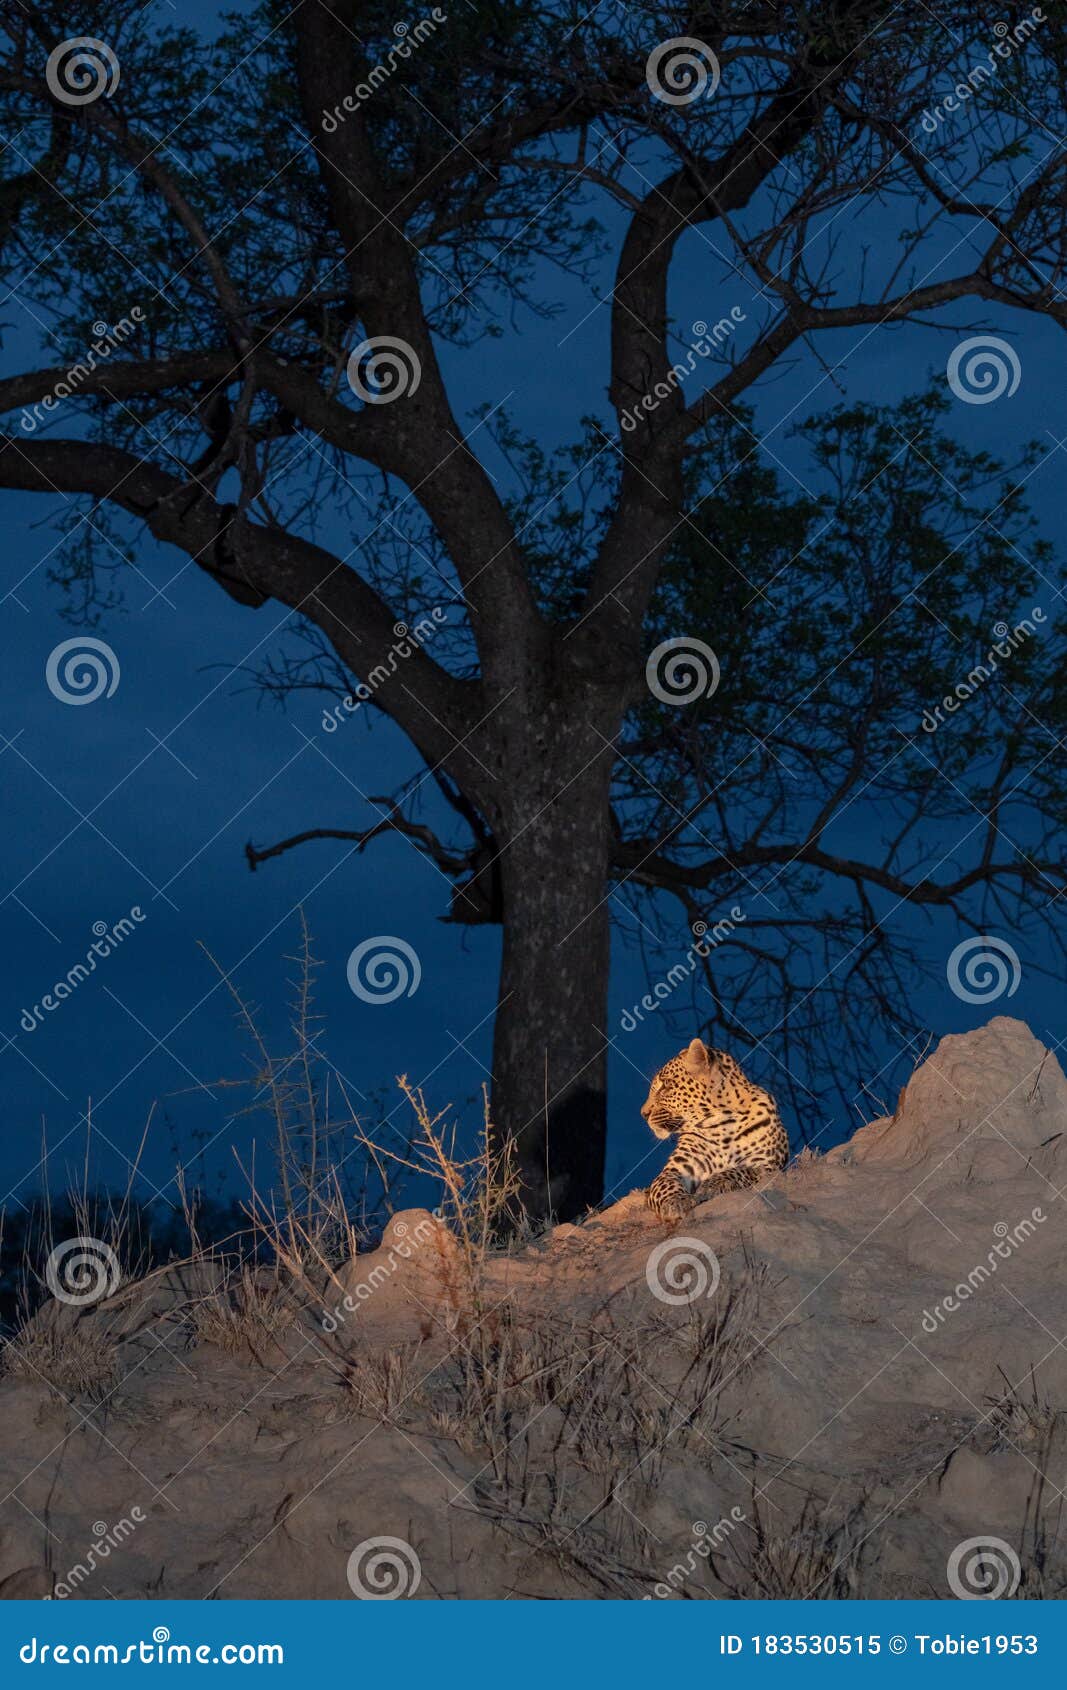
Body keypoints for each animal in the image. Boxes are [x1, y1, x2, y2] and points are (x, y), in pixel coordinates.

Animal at [641, 1037, 789, 1220]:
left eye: (666, 1085)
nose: (643, 1113)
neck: (722, 1124)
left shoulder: (767, 1164)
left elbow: (740, 1170)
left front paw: (713, 1184)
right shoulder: (676, 1169)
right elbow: (665, 1185)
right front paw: (677, 1203)